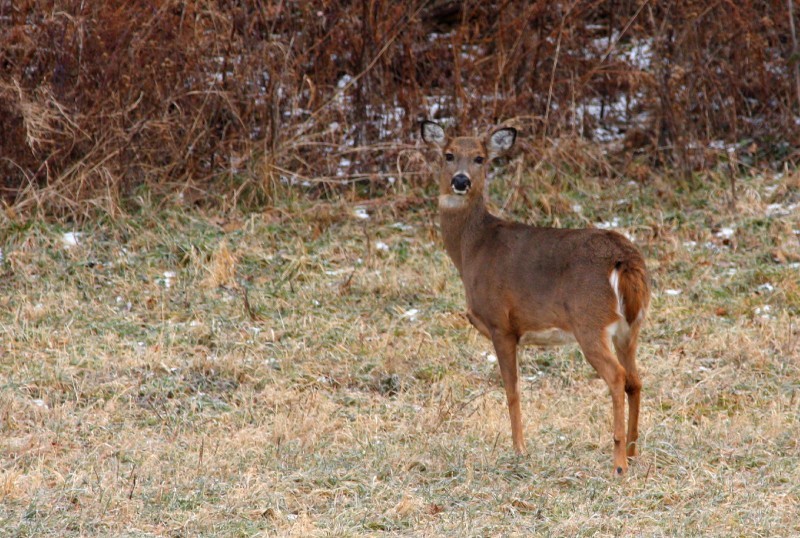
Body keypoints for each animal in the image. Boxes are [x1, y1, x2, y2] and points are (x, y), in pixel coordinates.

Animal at [420, 120, 650, 476]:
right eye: (448, 154)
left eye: (480, 158)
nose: (460, 181)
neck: (472, 249)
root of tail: (625, 259)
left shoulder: (501, 324)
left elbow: (512, 390)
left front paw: (519, 448)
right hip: (631, 327)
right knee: (635, 380)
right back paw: (634, 450)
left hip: (589, 320)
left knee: (617, 377)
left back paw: (619, 462)